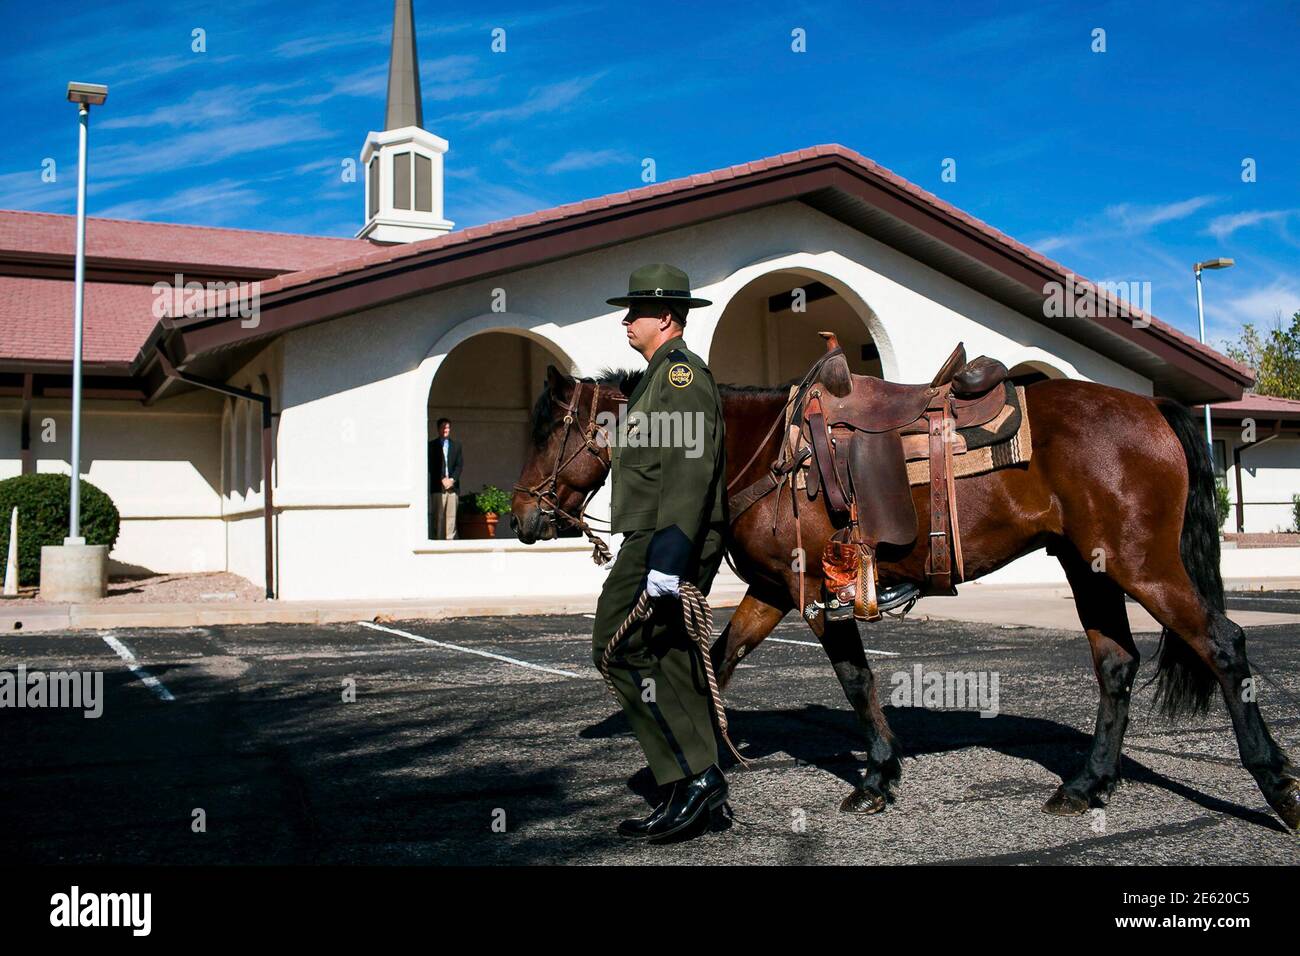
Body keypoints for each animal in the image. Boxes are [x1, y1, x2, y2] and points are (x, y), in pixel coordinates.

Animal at [510, 362, 1300, 832]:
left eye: (550, 430)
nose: (520, 516)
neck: (769, 450)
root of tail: (1155, 407)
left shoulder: (817, 595)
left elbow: (856, 681)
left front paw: (875, 777)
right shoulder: (772, 590)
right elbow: (721, 659)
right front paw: (696, 782)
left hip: (1143, 564)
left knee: (1224, 646)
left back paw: (1277, 788)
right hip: (1092, 567)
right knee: (1116, 668)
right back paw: (1086, 784)